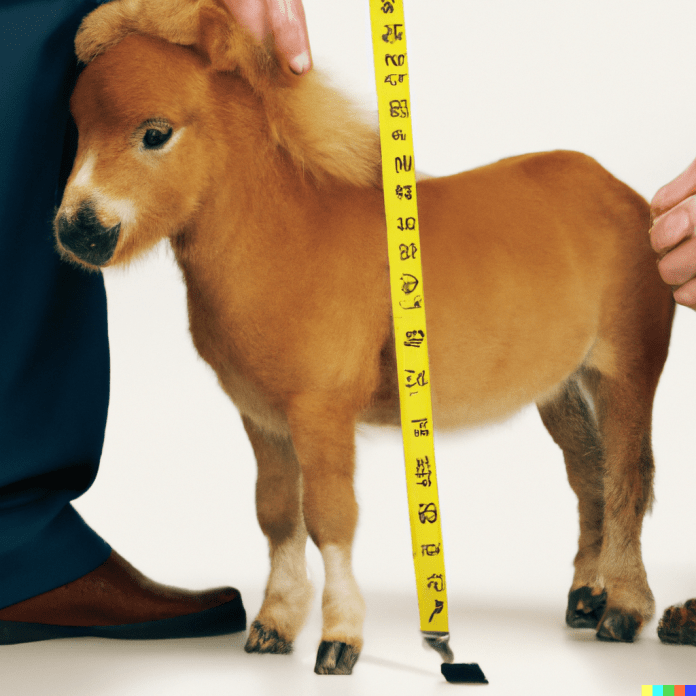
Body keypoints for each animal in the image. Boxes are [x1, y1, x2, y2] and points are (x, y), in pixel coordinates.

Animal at [54, 0, 676, 674]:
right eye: (78, 129)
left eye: (155, 132)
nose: (78, 230)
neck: (289, 234)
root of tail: (625, 196)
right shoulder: (262, 416)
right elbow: (277, 513)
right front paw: (275, 623)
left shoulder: (321, 411)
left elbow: (331, 518)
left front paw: (339, 638)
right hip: (560, 388)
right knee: (590, 475)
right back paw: (587, 596)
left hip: (627, 371)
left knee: (628, 478)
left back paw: (625, 609)